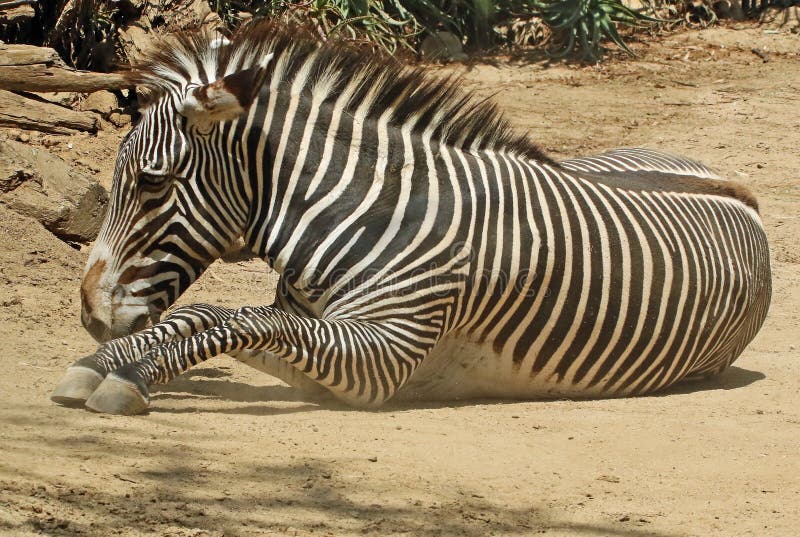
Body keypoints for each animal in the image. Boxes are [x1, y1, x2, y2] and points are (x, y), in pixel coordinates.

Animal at [51, 21, 771, 415]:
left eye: (151, 183)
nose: (88, 312)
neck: (364, 213)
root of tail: (748, 199)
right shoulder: (315, 332)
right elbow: (209, 318)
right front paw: (104, 361)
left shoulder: (381, 359)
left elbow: (228, 317)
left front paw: (126, 374)